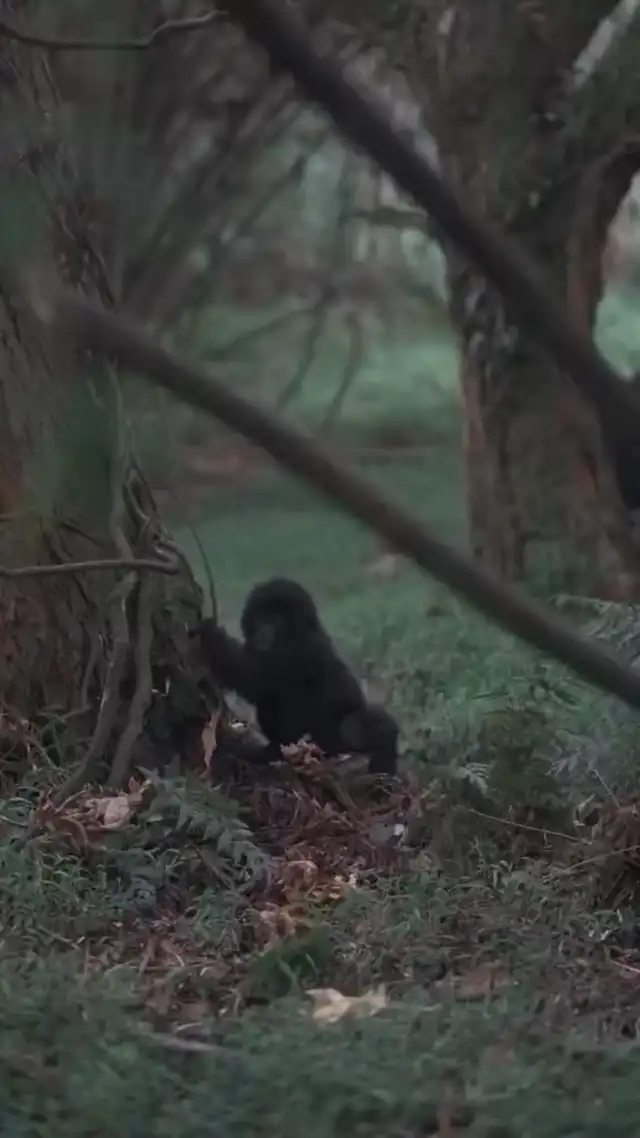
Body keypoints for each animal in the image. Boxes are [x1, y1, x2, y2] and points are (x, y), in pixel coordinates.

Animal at [198, 577, 398, 776]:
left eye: (275, 620)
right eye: (260, 616)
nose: (263, 632)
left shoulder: (299, 649)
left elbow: (250, 677)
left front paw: (213, 635)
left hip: (334, 743)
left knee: (354, 727)